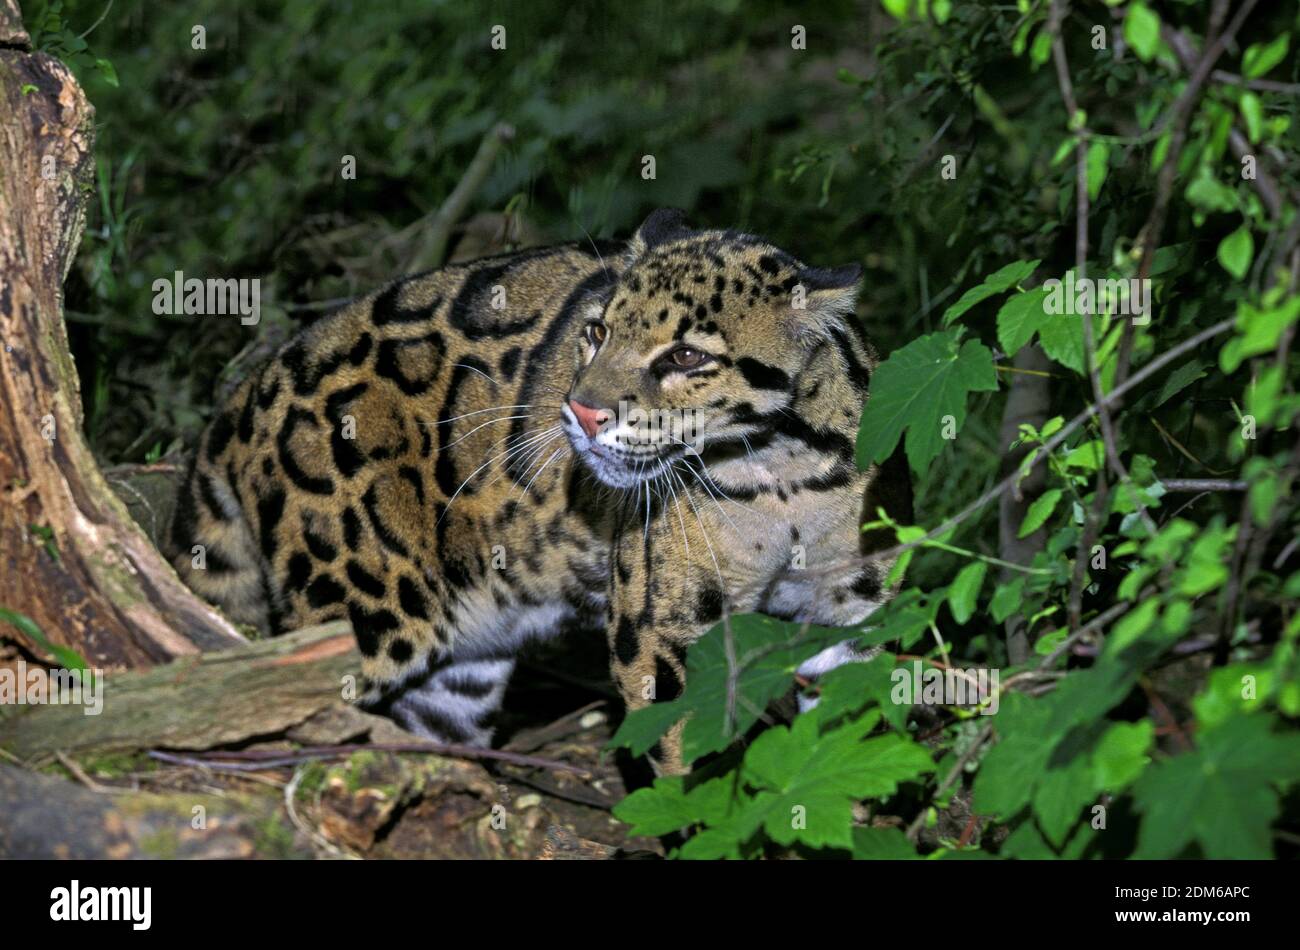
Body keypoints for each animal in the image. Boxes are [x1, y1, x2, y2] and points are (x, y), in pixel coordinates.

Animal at [168, 208, 913, 772]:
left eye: (686, 357)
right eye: (596, 331)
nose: (580, 412)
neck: (781, 473)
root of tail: (245, 395)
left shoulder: (859, 610)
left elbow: (855, 725)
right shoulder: (662, 628)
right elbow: (686, 760)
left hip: (456, 672)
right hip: (357, 608)